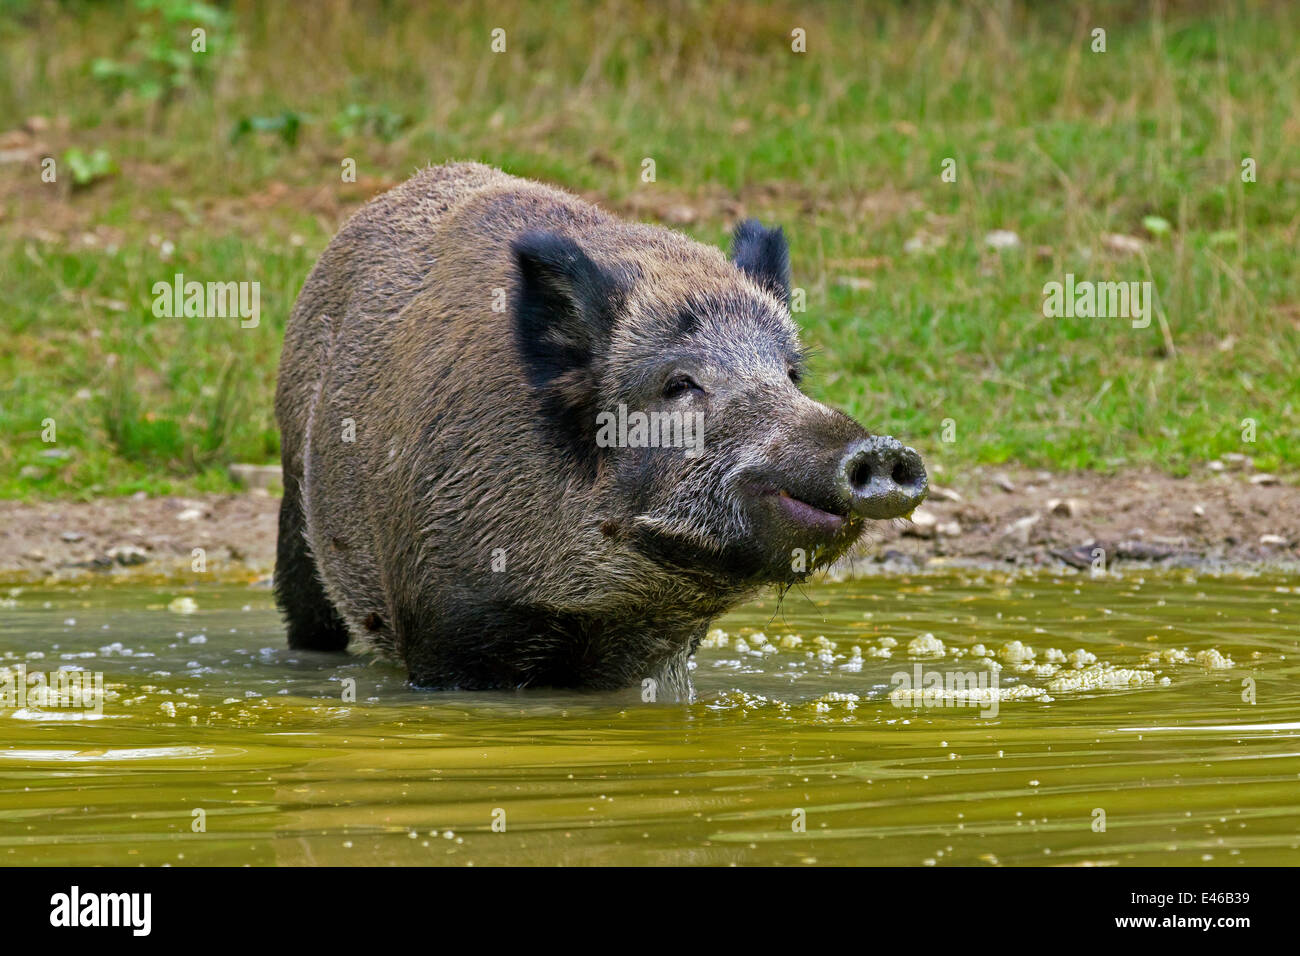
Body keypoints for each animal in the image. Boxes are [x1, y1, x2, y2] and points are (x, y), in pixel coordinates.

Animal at [274, 162, 926, 698]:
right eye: (679, 383)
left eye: (791, 375)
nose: (883, 450)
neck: (605, 600)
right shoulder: (445, 626)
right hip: (294, 498)